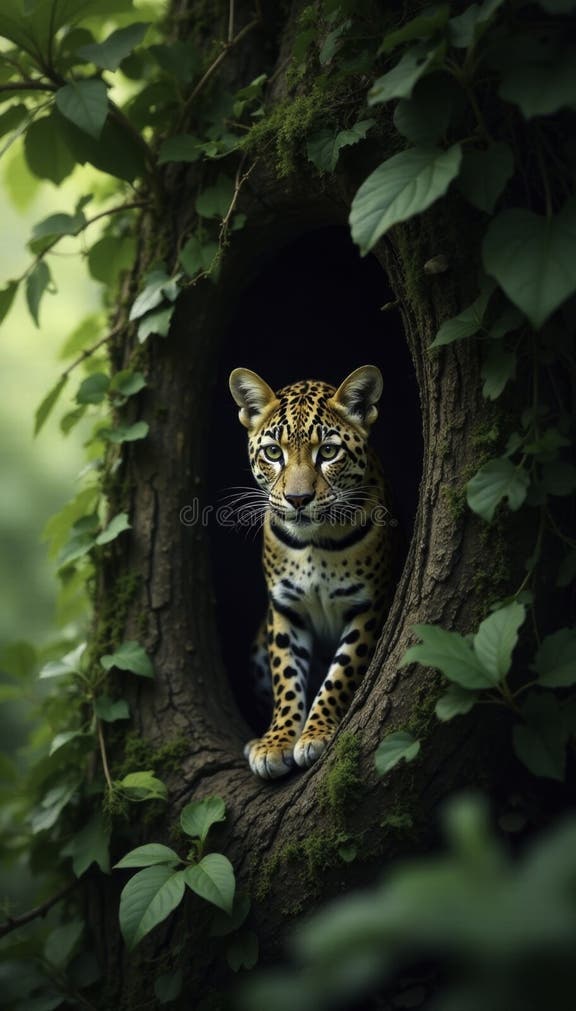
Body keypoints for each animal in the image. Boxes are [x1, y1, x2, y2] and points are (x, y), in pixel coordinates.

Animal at [228, 364, 397, 780]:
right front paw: (276, 742)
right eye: (274, 452)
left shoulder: (367, 606)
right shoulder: (285, 609)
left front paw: (316, 733)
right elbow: (286, 676)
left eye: (329, 452)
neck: (314, 544)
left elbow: (342, 671)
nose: (298, 499)